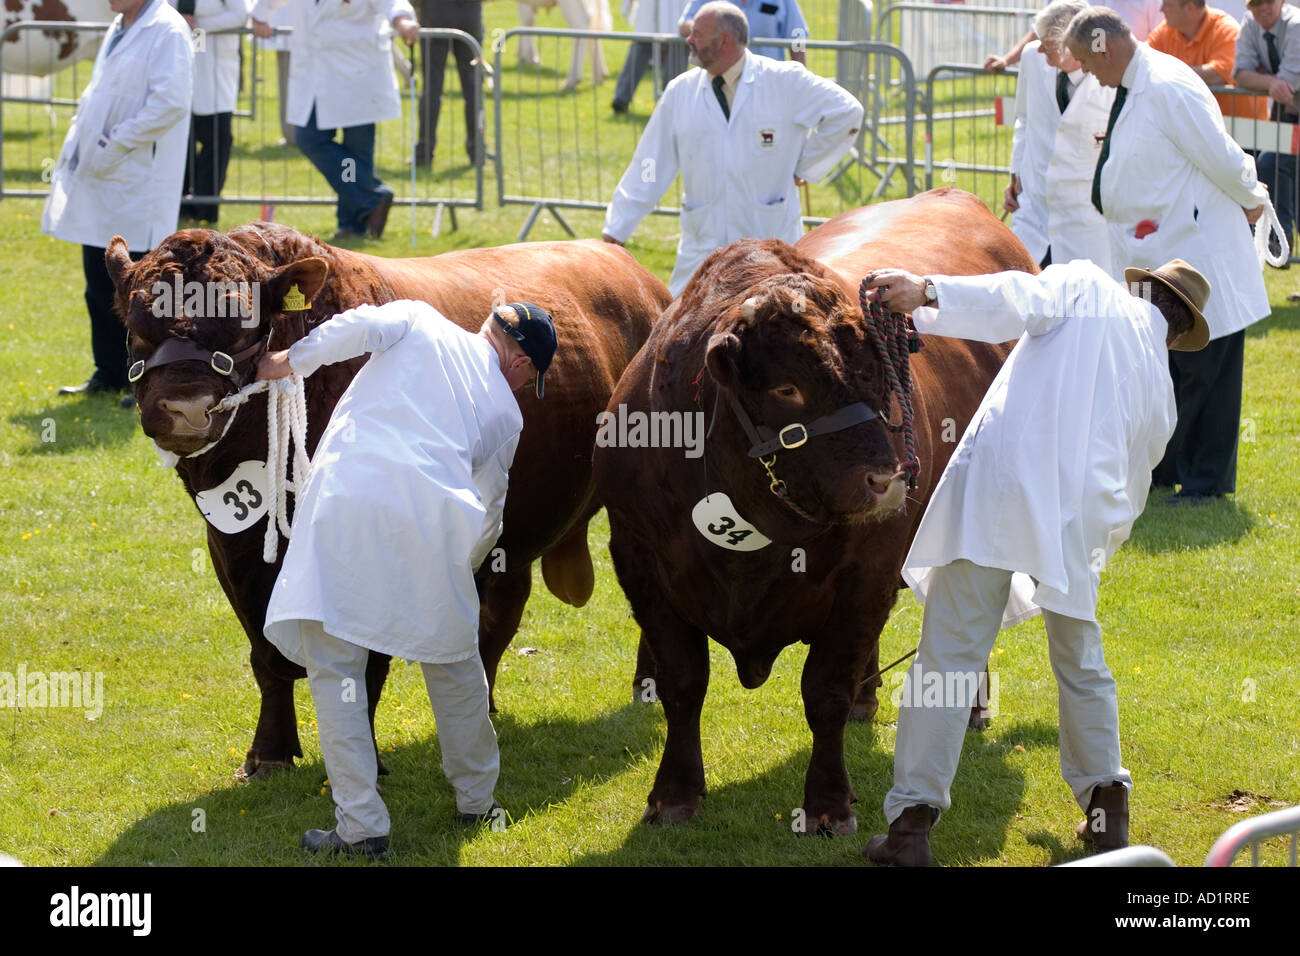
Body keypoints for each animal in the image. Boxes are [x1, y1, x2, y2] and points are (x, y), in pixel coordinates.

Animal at [106, 222, 671, 779]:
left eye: (244, 326)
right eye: (135, 326)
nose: (185, 407)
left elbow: (367, 663)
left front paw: (366, 758)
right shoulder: (230, 545)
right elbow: (265, 657)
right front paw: (269, 752)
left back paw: (648, 687)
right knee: (497, 619)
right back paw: (484, 706)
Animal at [592, 188, 1037, 835]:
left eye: (880, 379)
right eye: (786, 389)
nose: (887, 481)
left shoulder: (863, 575)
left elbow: (824, 690)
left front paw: (828, 804)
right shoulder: (639, 560)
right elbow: (682, 683)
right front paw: (674, 794)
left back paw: (971, 704)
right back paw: (868, 698)